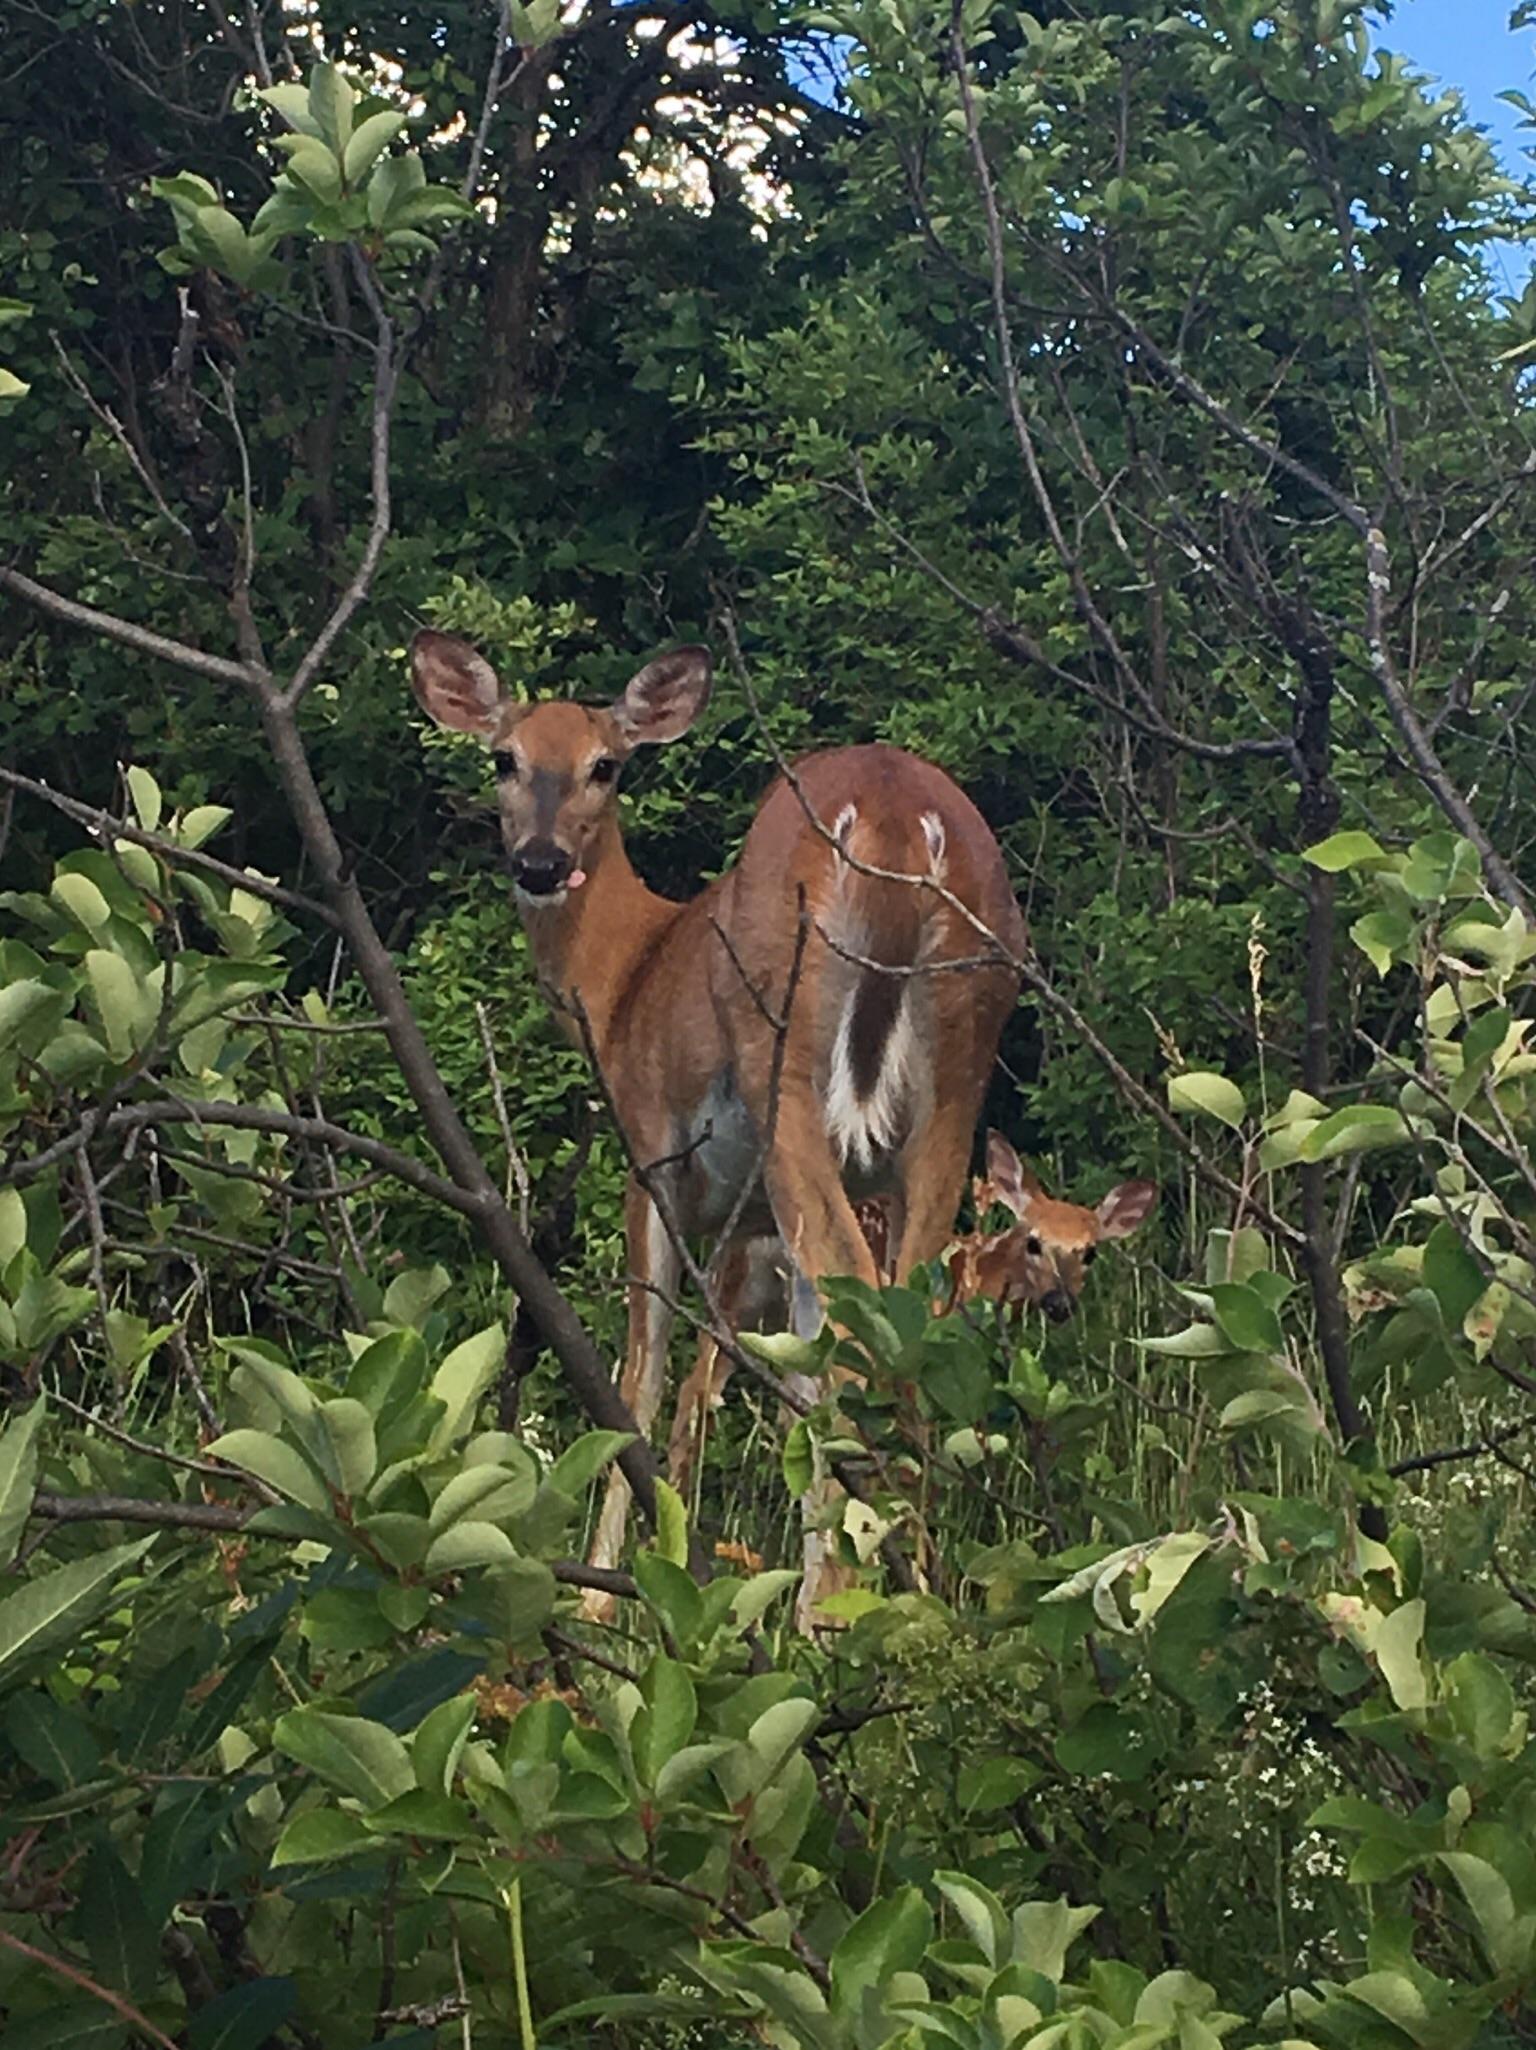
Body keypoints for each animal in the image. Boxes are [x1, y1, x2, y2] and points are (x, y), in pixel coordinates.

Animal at [409, 631, 1024, 1627]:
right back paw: (901, 1604)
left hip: (787, 1062)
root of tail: (896, 815)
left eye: (606, 765)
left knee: (851, 1337)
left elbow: (644, 1374)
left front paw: (611, 1596)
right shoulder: (755, 1226)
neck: (624, 976)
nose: (539, 862)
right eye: (504, 758)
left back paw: (832, 1617)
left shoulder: (654, 1156)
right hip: (952, 1093)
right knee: (899, 1331)